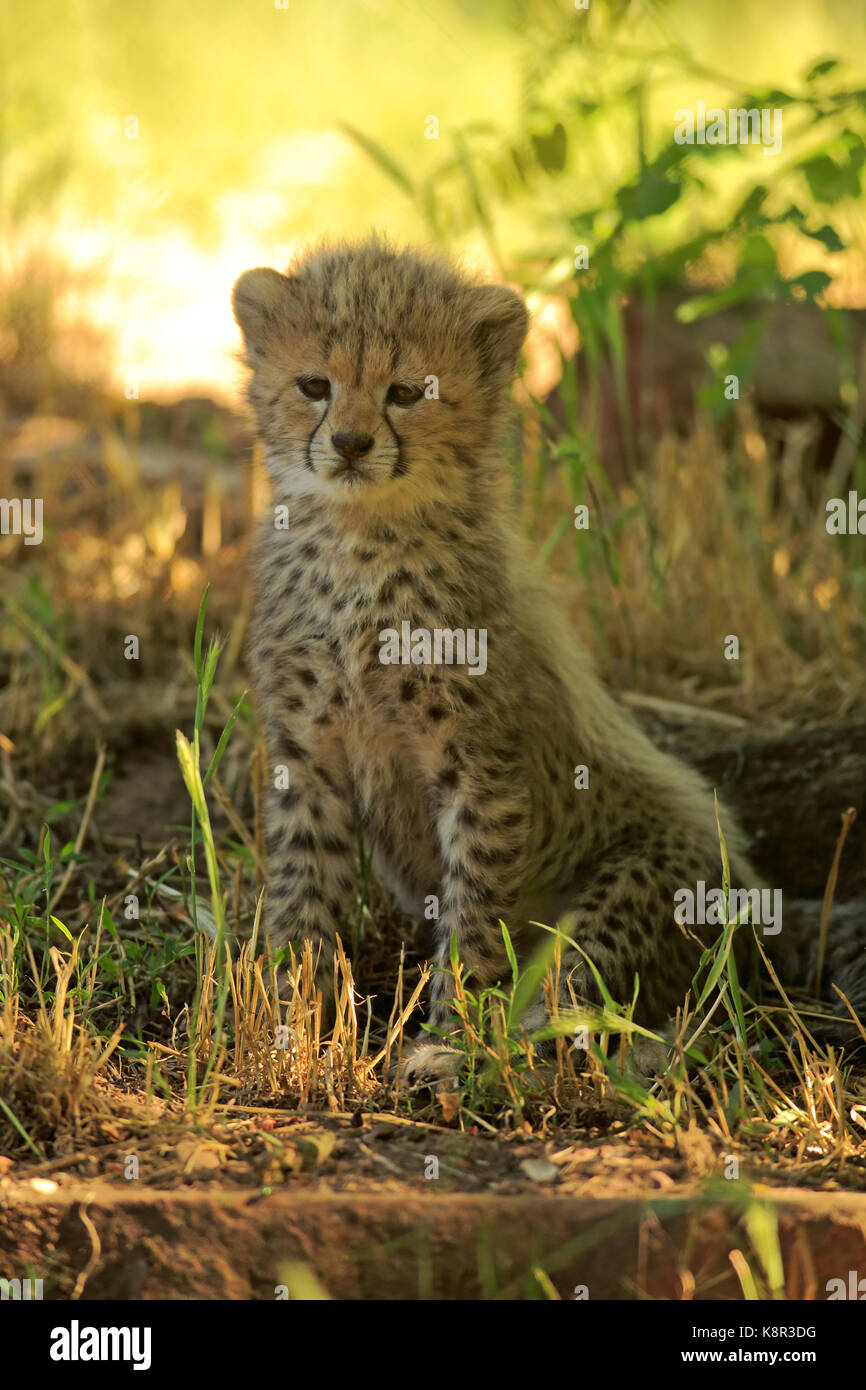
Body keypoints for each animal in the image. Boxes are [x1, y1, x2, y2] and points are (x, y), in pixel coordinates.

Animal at [231, 236, 866, 1085]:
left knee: (588, 1002)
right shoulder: (308, 759)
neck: (360, 538)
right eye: (313, 386)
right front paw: (291, 1032)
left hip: (640, 881)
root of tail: (760, 895)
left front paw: (450, 1038)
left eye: (406, 392)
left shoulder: (483, 770)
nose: (351, 444)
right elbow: (303, 900)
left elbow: (473, 918)